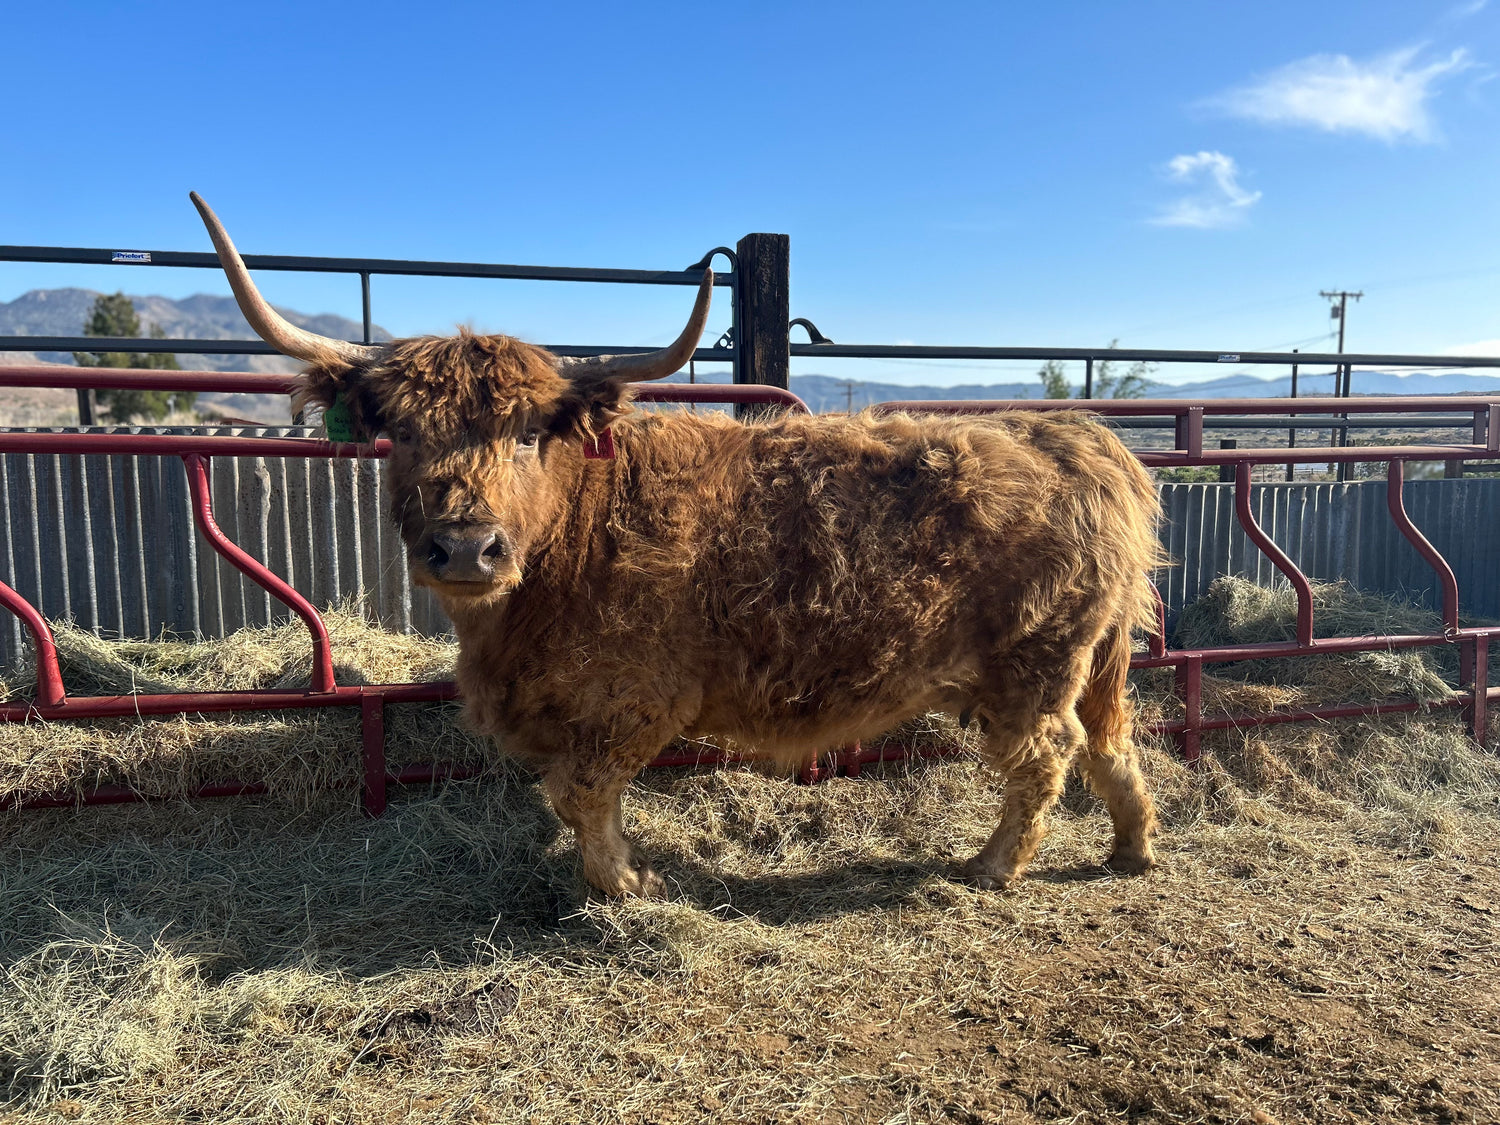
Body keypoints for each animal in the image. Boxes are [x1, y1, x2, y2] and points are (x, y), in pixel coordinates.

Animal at [191, 192, 1163, 897]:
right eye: (398, 432)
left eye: (529, 433)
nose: (466, 549)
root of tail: (1078, 438)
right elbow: (582, 795)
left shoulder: (636, 693)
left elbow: (584, 790)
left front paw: (624, 883)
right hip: (1081, 662)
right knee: (1109, 739)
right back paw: (1131, 848)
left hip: (1032, 665)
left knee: (1047, 755)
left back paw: (993, 867)